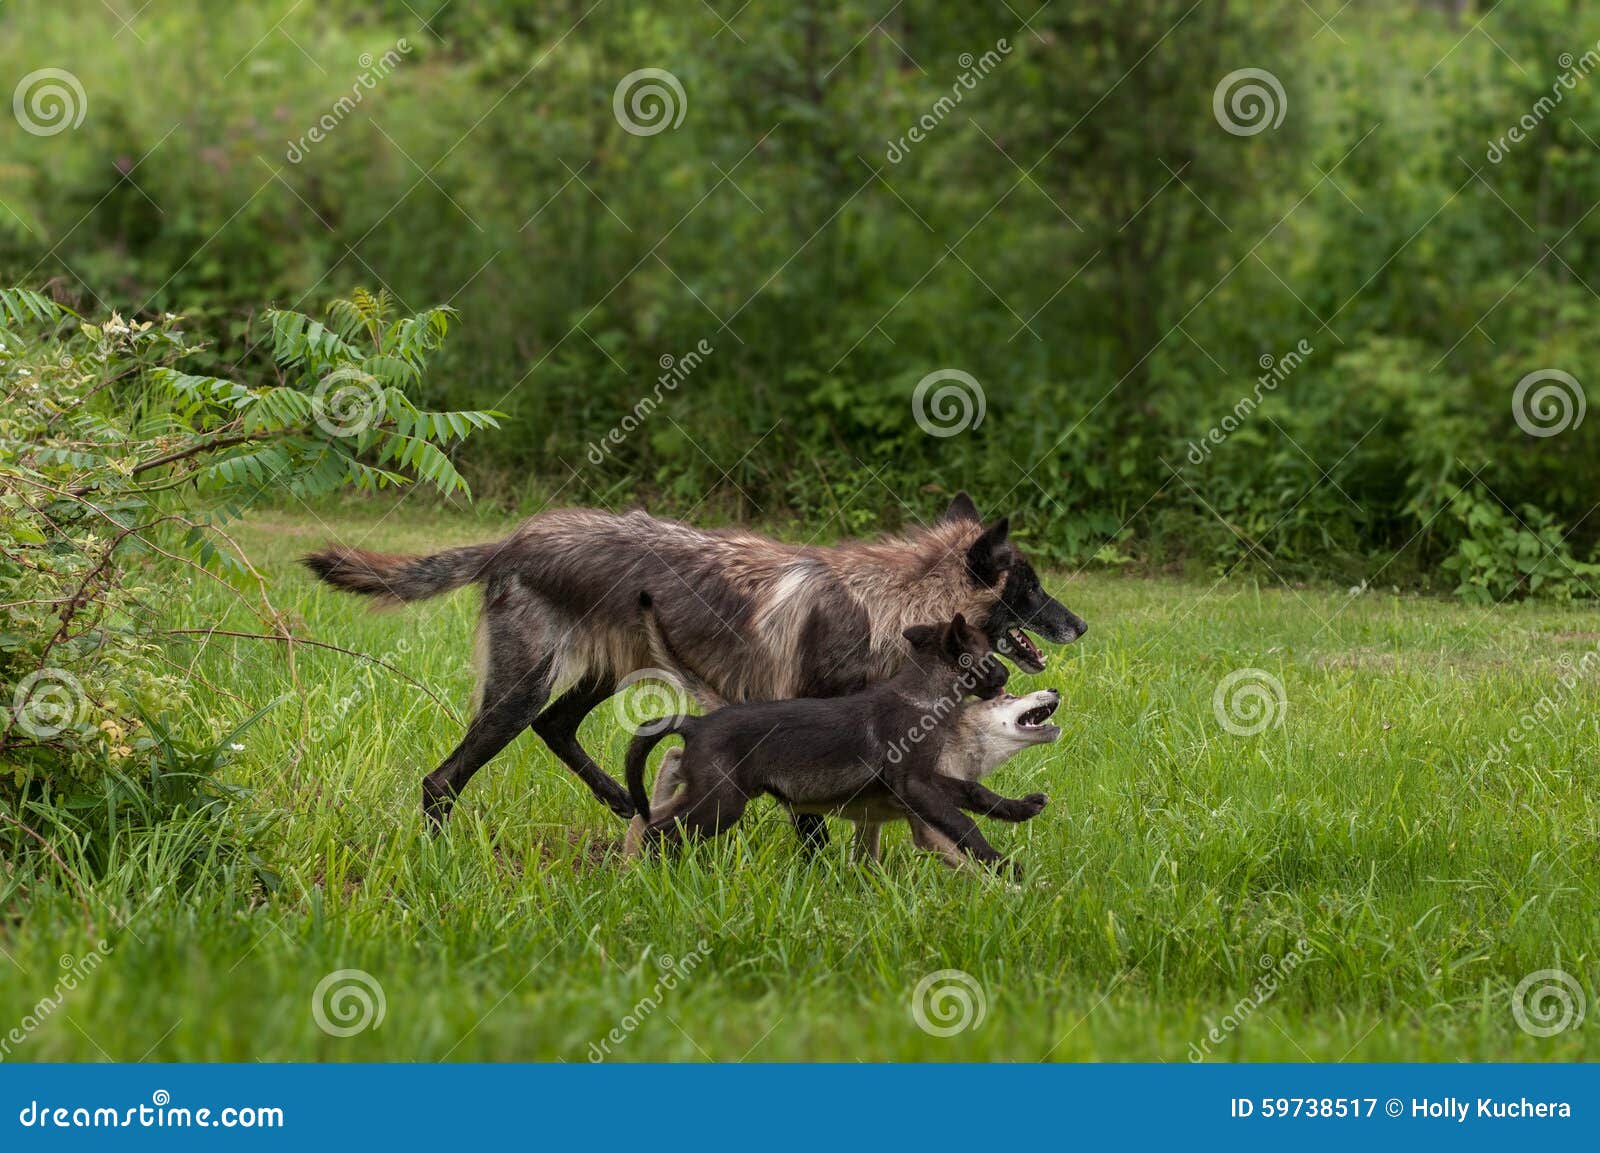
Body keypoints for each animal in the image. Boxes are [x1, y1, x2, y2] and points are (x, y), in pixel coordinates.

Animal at [301, 492, 1086, 829]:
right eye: (1031, 587)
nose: (1080, 624)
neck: (889, 604)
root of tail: (513, 539)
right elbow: (813, 824)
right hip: (519, 691)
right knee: (443, 779)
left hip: (607, 672)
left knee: (557, 729)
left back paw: (622, 800)